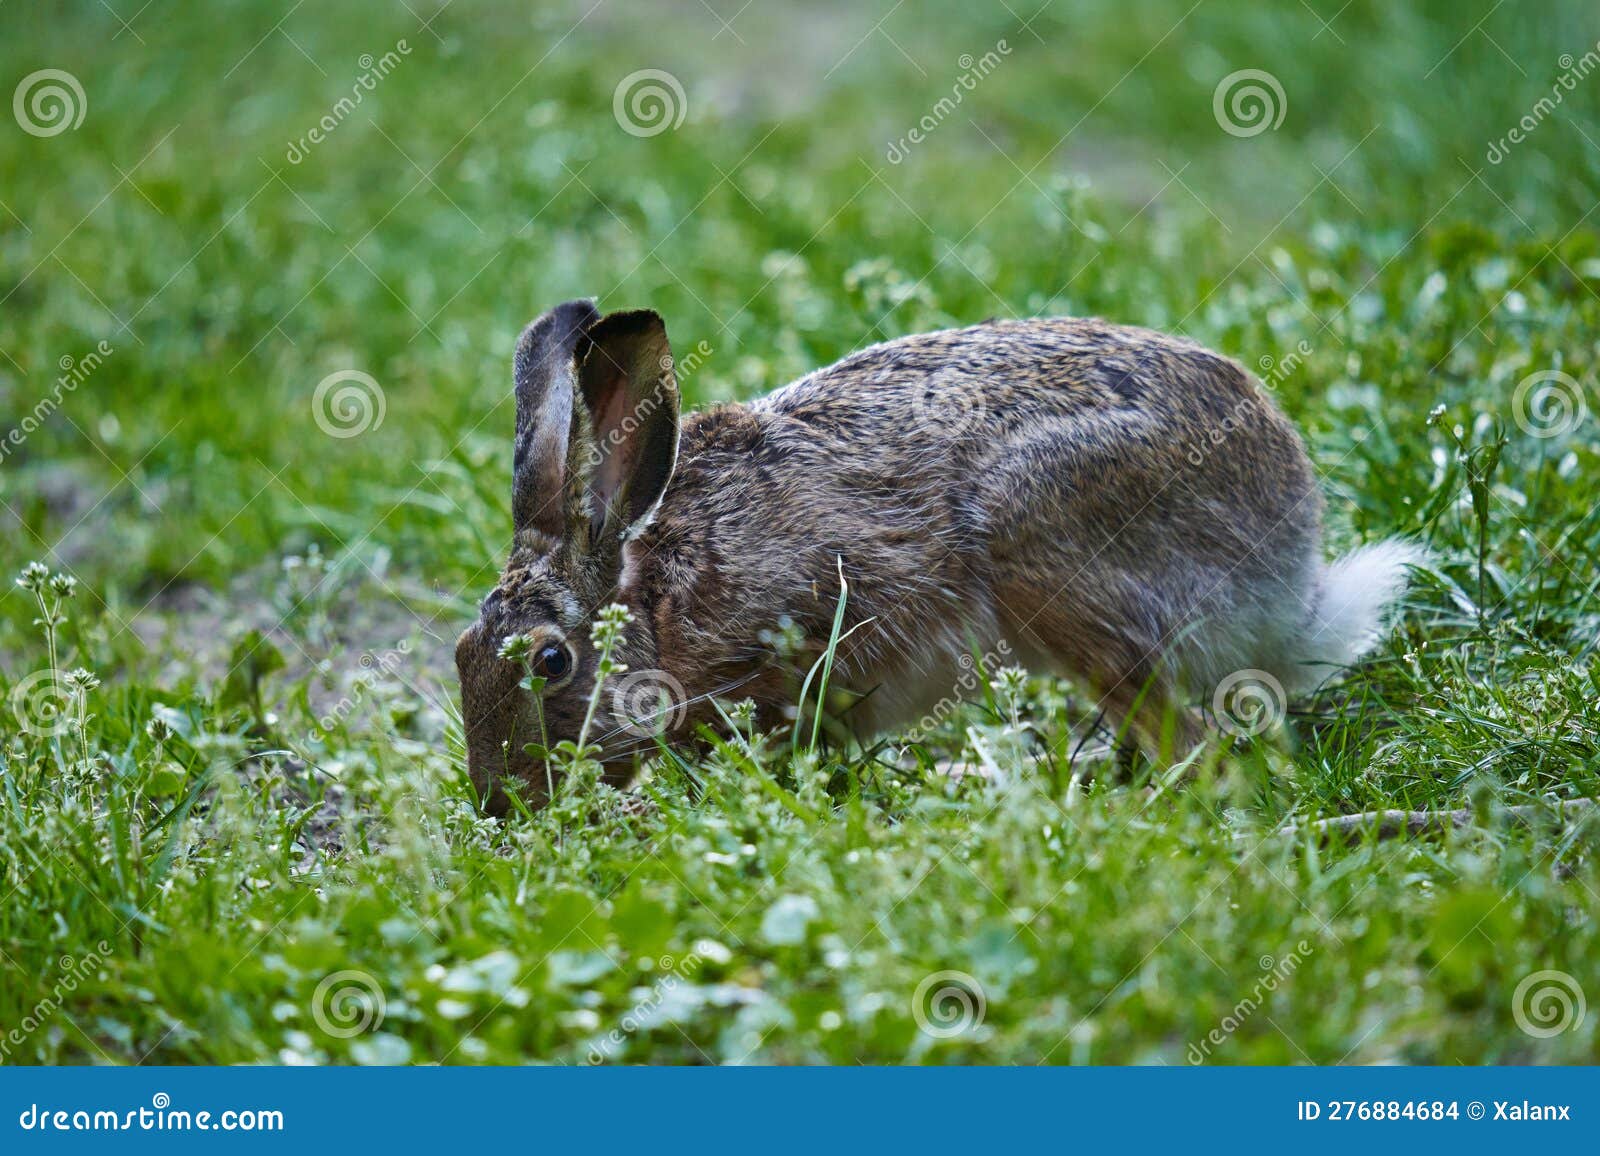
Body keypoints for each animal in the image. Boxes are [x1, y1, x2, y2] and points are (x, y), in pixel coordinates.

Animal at [456, 299, 1422, 812]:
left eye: (549, 661)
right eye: (463, 655)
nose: (500, 801)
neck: (654, 605)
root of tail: (1293, 579)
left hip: (1056, 566)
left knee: (1191, 740)